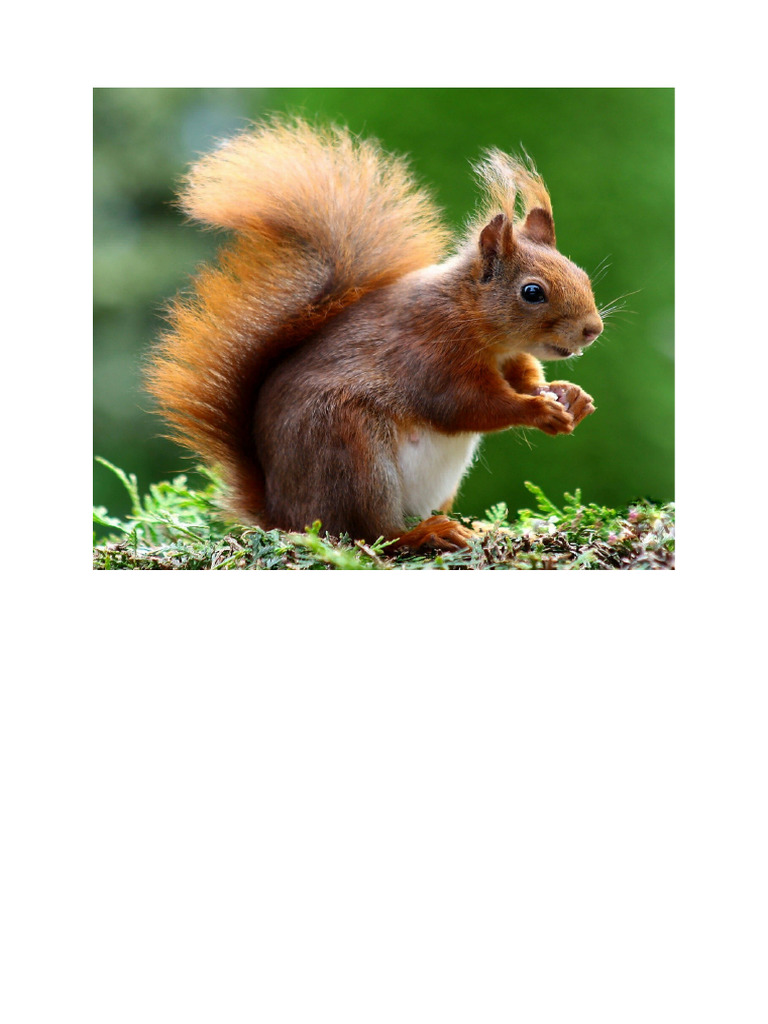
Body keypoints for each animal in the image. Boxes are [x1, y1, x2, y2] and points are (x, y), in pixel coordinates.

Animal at [146, 117, 603, 551]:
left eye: (581, 274)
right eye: (532, 292)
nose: (592, 330)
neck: (475, 322)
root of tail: (282, 512)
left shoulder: (510, 357)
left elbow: (525, 379)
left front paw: (570, 396)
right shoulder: (431, 354)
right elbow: (469, 406)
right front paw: (538, 410)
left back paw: (474, 526)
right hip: (353, 454)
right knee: (368, 532)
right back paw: (422, 535)